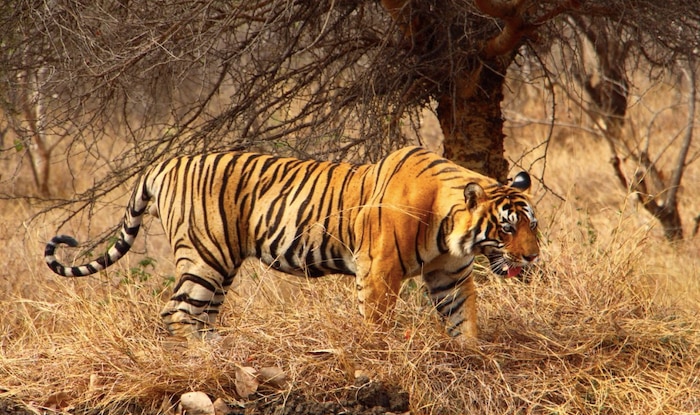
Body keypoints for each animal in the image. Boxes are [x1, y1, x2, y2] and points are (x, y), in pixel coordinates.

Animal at [45, 146, 539, 342]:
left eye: (532, 226)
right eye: (507, 228)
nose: (533, 257)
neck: (453, 233)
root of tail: (166, 162)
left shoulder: (450, 278)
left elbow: (464, 323)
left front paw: (471, 357)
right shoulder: (379, 271)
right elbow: (377, 324)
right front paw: (380, 356)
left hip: (219, 267)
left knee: (199, 313)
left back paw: (221, 353)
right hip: (206, 256)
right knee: (177, 312)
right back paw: (205, 360)